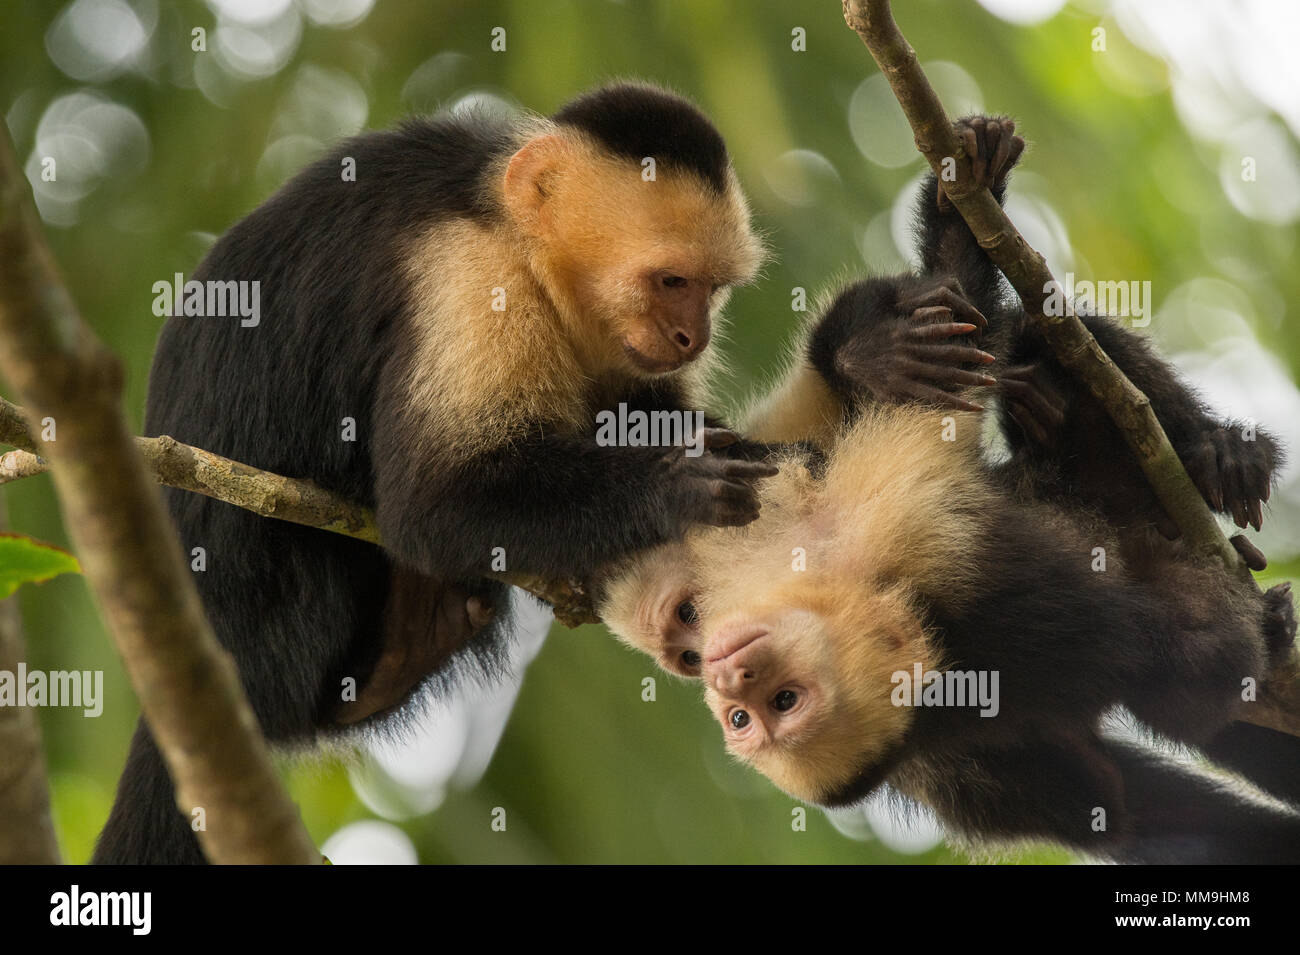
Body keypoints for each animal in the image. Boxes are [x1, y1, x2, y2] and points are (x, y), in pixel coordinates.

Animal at [95, 82, 782, 864]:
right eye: (670, 280)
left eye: (712, 289)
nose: (692, 337)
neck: (519, 240)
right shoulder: (468, 275)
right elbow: (432, 503)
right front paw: (679, 484)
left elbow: (644, 410)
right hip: (266, 597)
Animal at [596, 115, 1300, 862]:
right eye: (747, 717)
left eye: (776, 703)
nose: (727, 677)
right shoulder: (956, 674)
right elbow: (1158, 740)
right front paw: (1242, 636)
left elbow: (953, 316)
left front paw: (958, 204)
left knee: (1046, 338)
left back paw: (1215, 453)